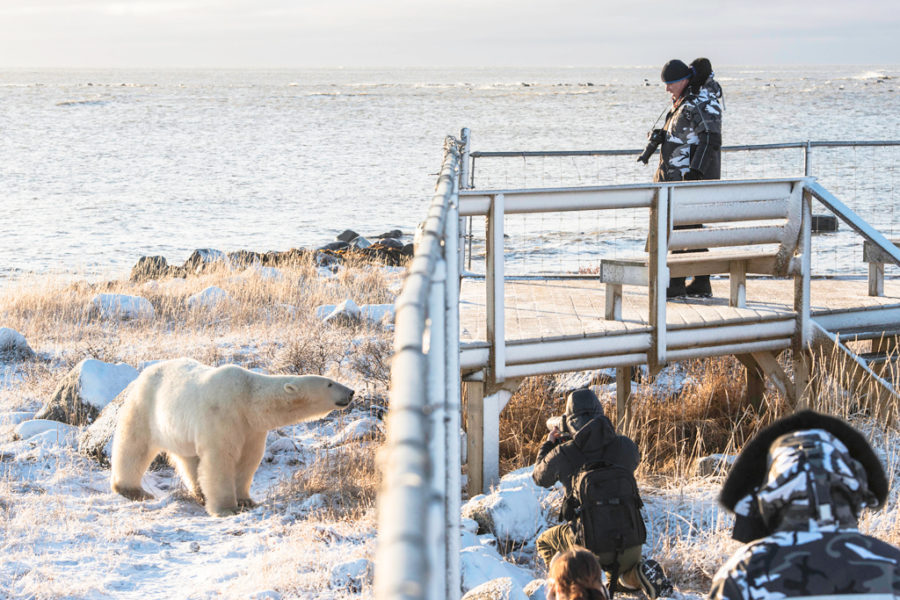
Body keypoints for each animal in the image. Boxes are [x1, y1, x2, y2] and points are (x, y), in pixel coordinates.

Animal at [110, 357, 354, 516]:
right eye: (330, 383)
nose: (351, 391)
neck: (247, 398)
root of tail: (143, 373)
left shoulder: (251, 428)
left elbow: (248, 460)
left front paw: (247, 500)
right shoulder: (223, 416)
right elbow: (220, 459)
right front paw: (226, 508)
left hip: (179, 430)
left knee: (189, 460)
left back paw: (199, 493)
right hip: (145, 407)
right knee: (134, 446)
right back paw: (132, 490)